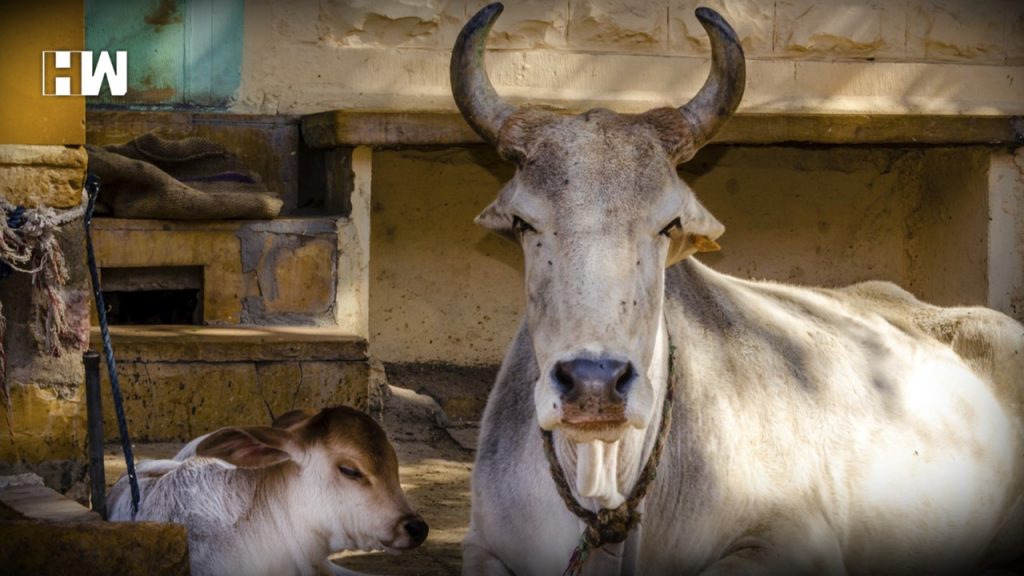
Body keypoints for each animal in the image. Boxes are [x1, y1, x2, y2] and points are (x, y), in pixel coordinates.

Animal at [452, 4, 1024, 575]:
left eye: (668, 224)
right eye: (524, 222)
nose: (595, 384)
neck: (603, 489)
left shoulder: (796, 539)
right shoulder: (483, 543)